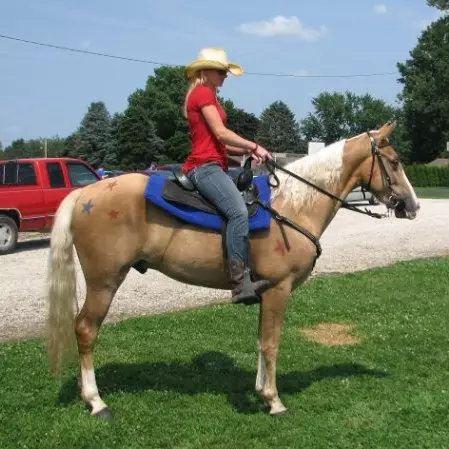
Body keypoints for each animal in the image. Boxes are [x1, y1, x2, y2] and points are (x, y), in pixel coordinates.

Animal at [47, 121, 418, 416]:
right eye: (395, 162)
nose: (412, 205)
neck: (294, 206)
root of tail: (84, 194)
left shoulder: (266, 292)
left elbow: (260, 341)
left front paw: (261, 391)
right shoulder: (279, 289)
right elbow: (271, 343)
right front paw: (274, 401)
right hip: (104, 282)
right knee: (85, 329)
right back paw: (96, 401)